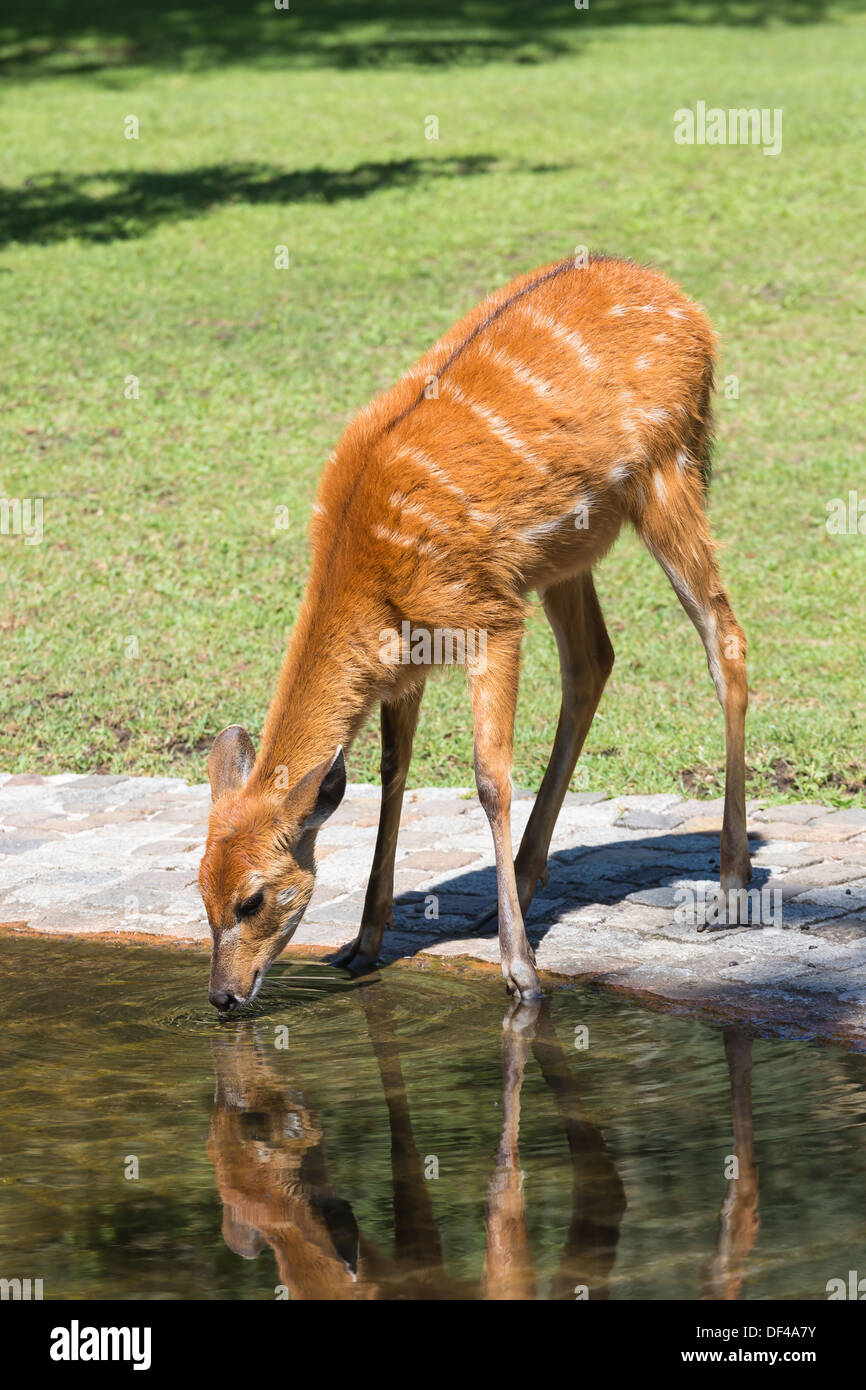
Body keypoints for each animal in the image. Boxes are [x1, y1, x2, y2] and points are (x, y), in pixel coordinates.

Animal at [198, 253, 750, 1012]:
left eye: (252, 899)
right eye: (200, 891)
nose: (223, 996)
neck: (366, 572)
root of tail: (690, 310)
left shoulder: (488, 615)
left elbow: (490, 778)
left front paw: (522, 974)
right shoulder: (406, 659)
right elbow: (393, 771)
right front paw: (360, 945)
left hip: (670, 473)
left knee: (725, 639)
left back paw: (729, 888)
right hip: (563, 553)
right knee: (593, 659)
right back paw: (524, 880)